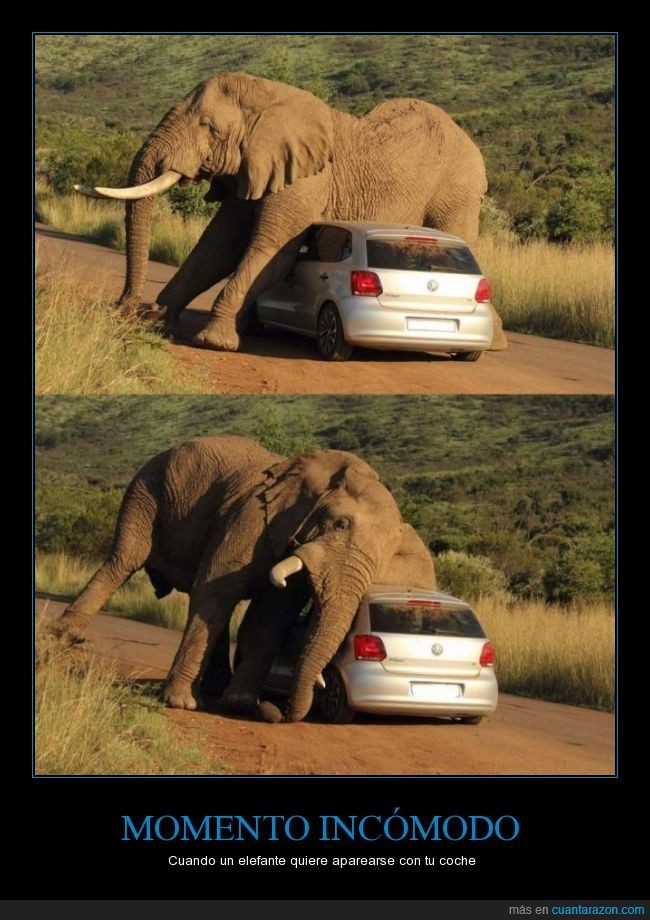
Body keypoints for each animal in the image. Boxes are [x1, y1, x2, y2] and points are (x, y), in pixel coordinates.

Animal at [54, 436, 435, 723]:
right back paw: (65, 637)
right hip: (147, 489)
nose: (272, 710)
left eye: (389, 555)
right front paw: (181, 704)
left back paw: (214, 691)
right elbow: (216, 590)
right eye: (339, 524)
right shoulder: (253, 516)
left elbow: (271, 614)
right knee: (124, 561)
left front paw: (238, 702)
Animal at [76, 72, 507, 353]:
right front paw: (163, 321)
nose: (125, 309)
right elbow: (218, 247)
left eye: (208, 126)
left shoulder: (304, 181)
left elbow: (271, 250)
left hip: (457, 189)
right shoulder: (252, 167)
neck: (270, 98)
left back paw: (495, 342)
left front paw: (214, 341)